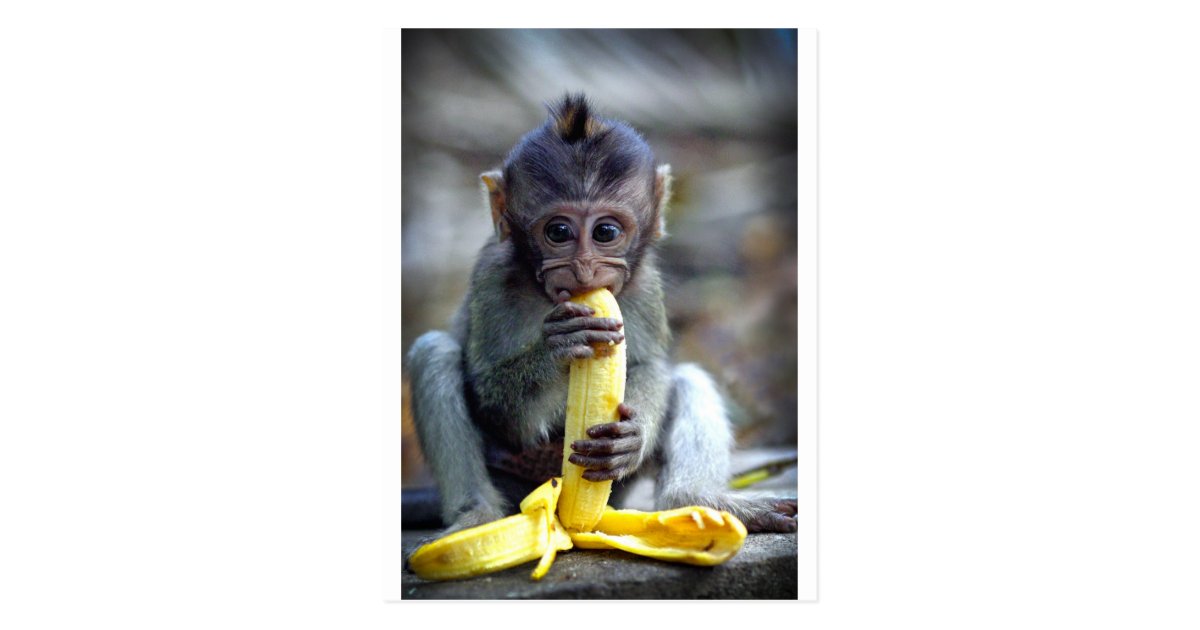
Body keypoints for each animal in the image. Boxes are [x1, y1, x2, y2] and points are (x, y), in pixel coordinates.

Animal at [406, 94, 797, 536]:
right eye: (558, 232)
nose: (584, 270)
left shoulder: (645, 287)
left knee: (688, 378)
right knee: (433, 352)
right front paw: (557, 347)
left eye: (605, 233)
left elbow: (649, 366)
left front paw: (633, 437)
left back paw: (697, 501)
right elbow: (492, 400)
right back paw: (476, 515)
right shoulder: (492, 279)